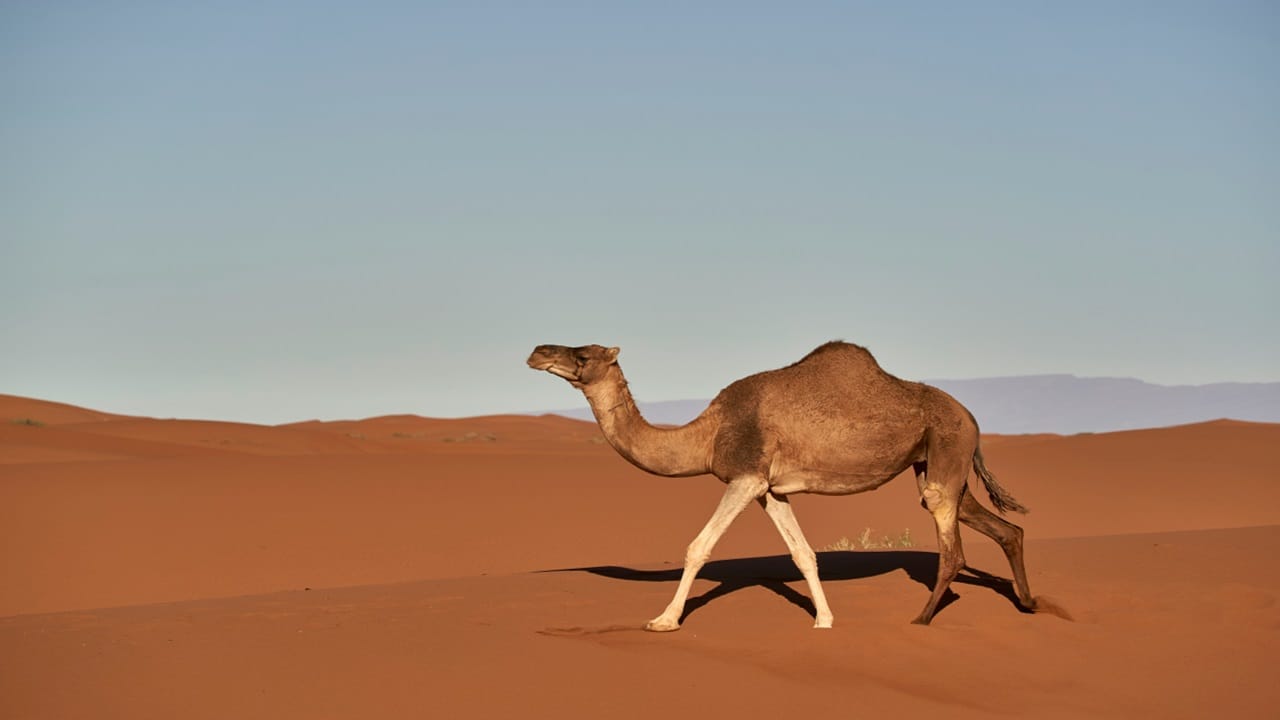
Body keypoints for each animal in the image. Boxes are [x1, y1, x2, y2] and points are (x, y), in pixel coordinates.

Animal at [527, 341, 1041, 630]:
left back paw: (921, 619)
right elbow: (803, 554)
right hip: (937, 461)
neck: (707, 434)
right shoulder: (771, 490)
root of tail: (971, 417)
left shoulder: (745, 476)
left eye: (583, 355)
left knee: (951, 545)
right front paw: (825, 620)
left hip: (947, 449)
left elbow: (698, 547)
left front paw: (663, 620)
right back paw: (1029, 603)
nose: (537, 352)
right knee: (1004, 528)